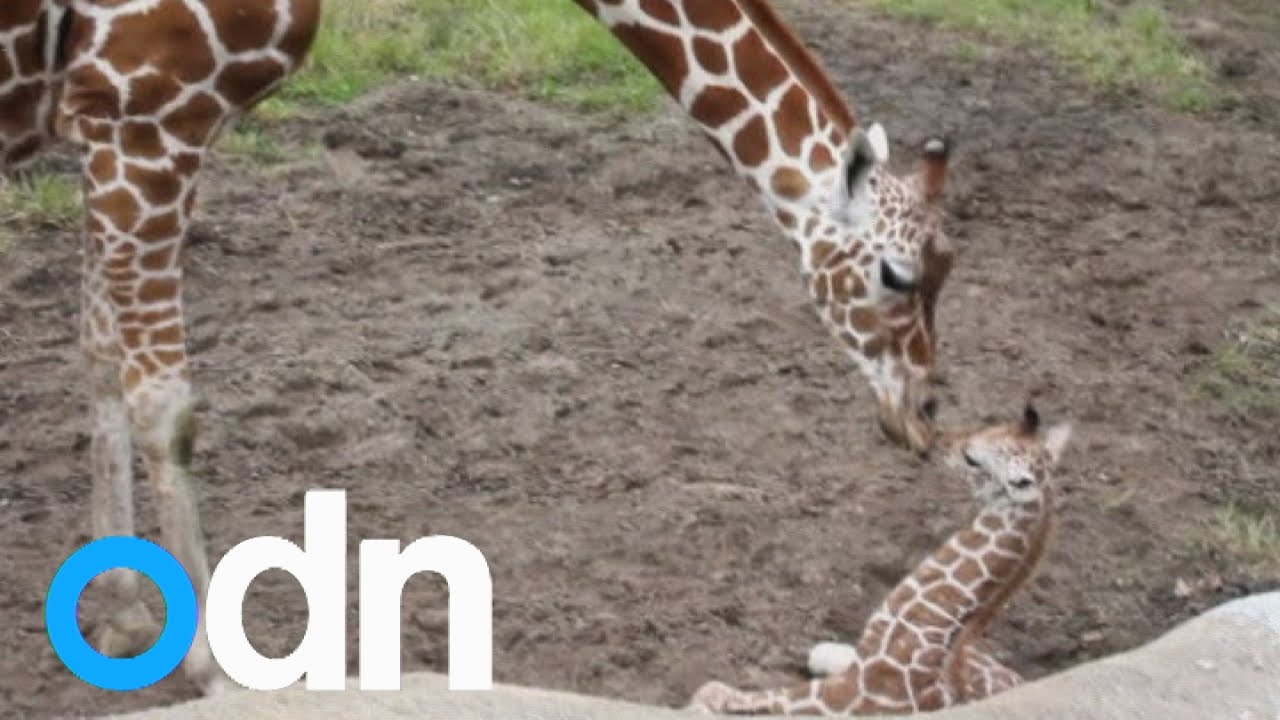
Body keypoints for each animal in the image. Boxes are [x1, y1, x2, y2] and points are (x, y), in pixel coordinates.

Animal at [1, 0, 320, 695]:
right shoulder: (146, 118)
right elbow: (164, 409)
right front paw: (216, 665)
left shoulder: (101, 122)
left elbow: (100, 357)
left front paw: (121, 608)